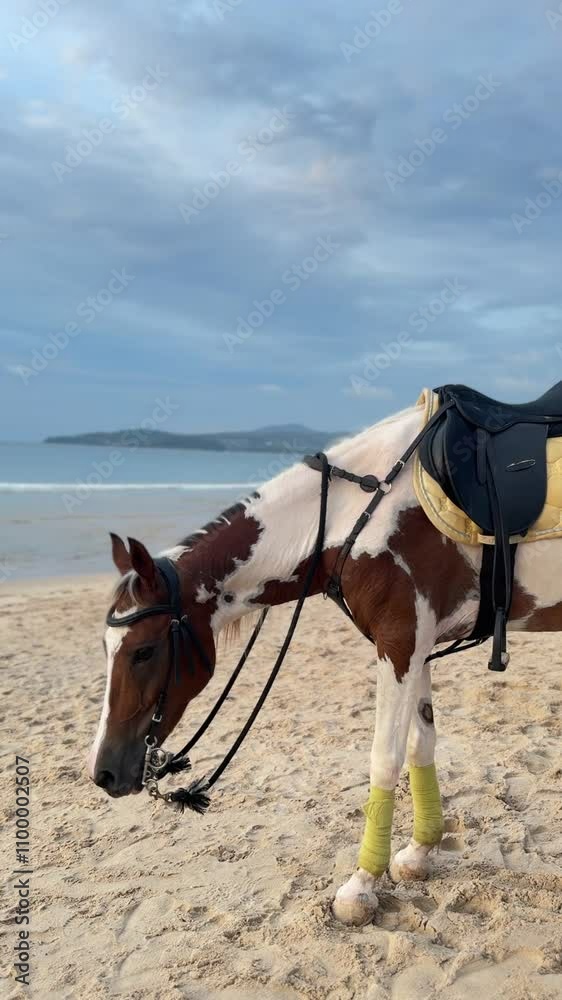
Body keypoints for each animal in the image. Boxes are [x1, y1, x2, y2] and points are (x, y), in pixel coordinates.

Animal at [88, 400, 562, 926]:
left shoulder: (398, 644)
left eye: (143, 650)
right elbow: (420, 746)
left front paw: (361, 886)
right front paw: (419, 853)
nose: (104, 772)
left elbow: (384, 760)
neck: (358, 513)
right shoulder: (416, 646)